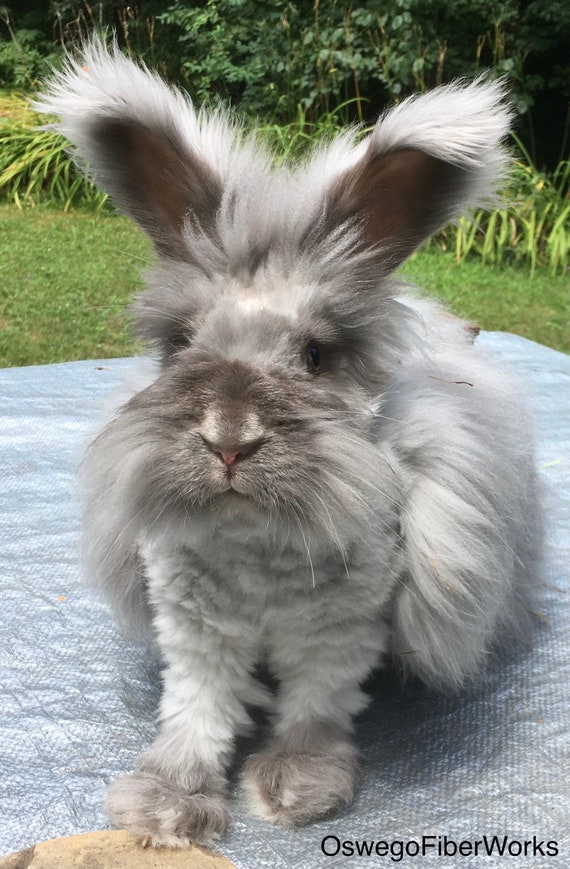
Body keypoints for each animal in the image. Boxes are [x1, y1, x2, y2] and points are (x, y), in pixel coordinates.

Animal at [36, 41, 543, 848]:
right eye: (181, 344)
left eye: (314, 356)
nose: (229, 439)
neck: (256, 545)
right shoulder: (196, 634)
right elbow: (197, 711)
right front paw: (164, 807)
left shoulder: (337, 636)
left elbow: (315, 706)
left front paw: (297, 790)